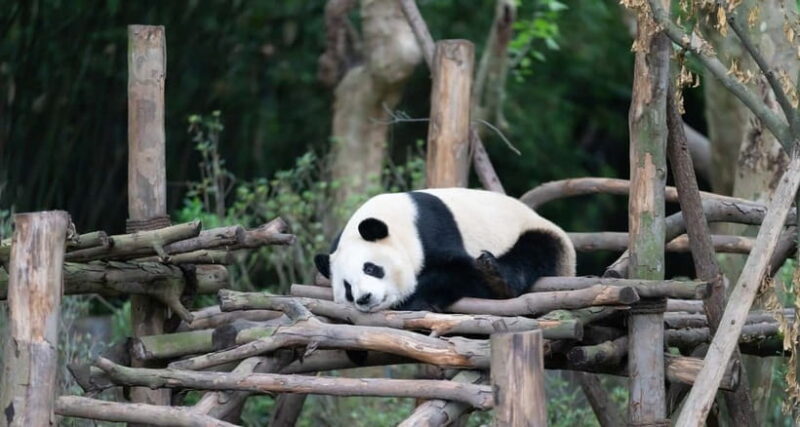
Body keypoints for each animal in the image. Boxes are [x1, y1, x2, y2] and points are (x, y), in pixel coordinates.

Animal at [314, 188, 576, 312]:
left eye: (370, 268)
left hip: (538, 234)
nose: (364, 298)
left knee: (532, 253)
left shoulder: (433, 230)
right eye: (348, 288)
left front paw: (413, 299)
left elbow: (463, 273)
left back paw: (497, 275)